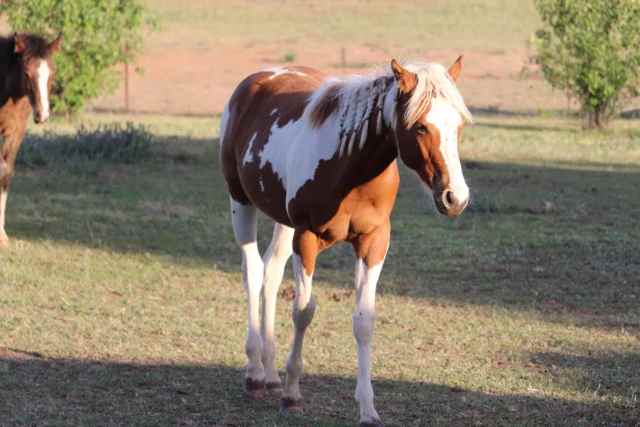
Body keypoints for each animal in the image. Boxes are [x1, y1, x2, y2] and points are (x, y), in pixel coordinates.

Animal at [0, 33, 62, 247]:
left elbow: (5, 173)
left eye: (52, 72)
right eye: (26, 73)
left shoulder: (16, 132)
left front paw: (2, 236)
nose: (42, 115)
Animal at [219, 56, 472, 426]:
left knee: (271, 273)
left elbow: (364, 320)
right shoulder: (306, 237)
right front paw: (292, 393)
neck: (349, 168)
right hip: (241, 200)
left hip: (283, 222)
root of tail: (258, 79)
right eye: (421, 127)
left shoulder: (374, 241)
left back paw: (270, 373)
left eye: (459, 125)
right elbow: (303, 311)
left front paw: (367, 408)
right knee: (252, 272)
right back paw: (254, 373)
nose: (456, 198)